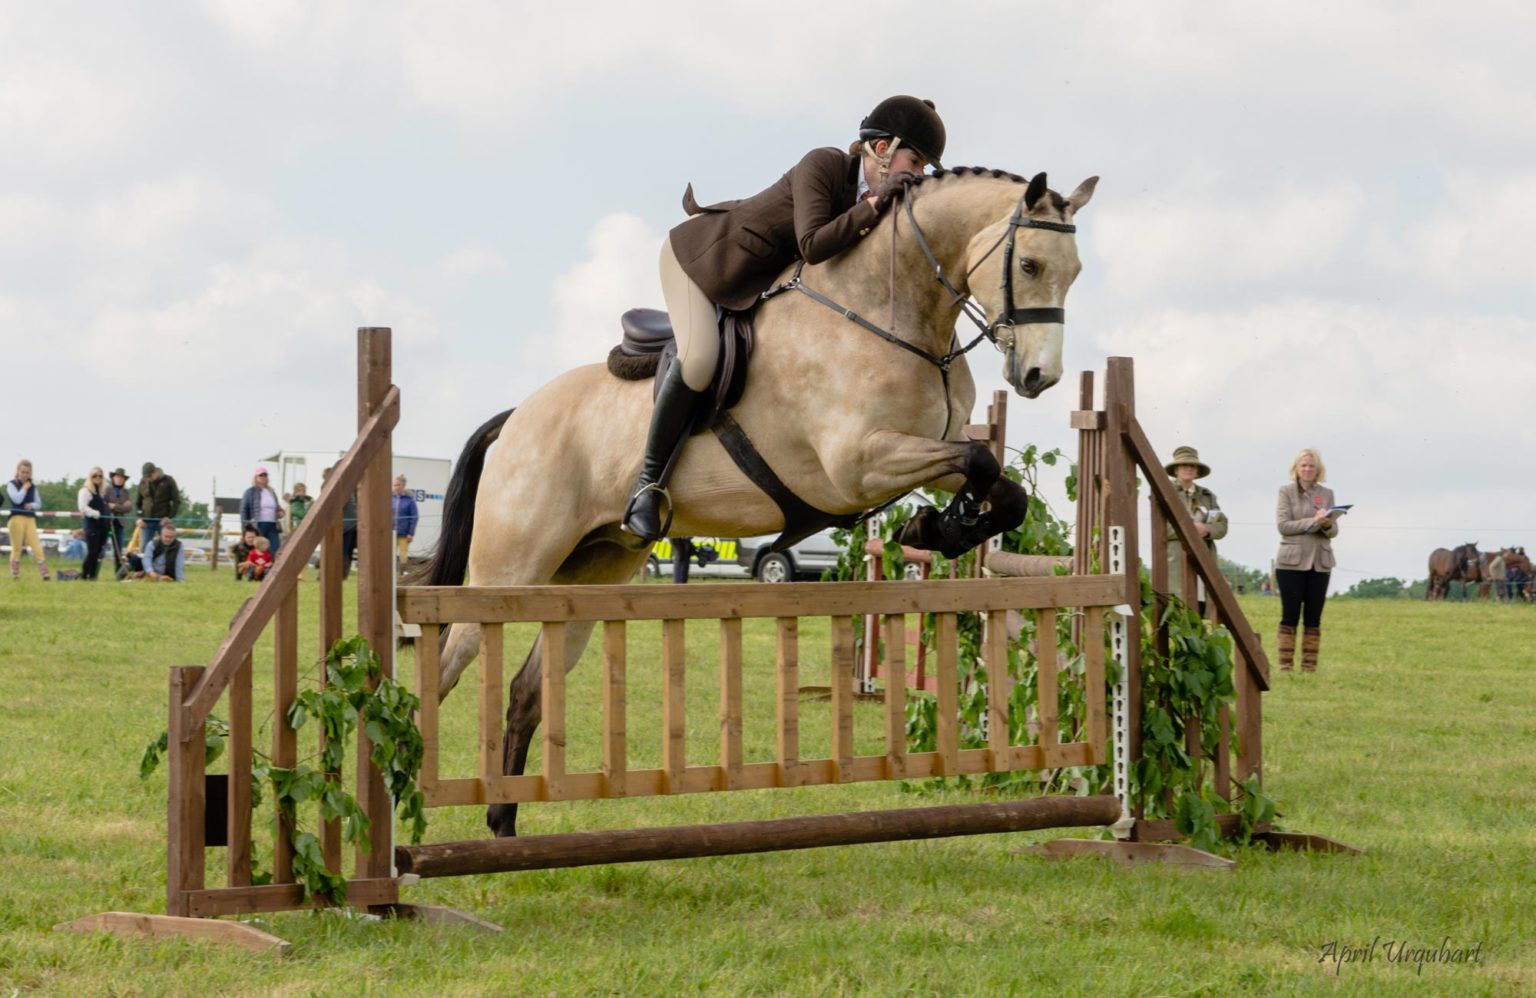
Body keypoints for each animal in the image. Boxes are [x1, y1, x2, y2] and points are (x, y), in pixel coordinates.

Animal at [421, 168, 1098, 837]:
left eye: (1076, 272)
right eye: (1031, 263)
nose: (1039, 377)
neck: (886, 315)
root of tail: (516, 418)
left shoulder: (926, 446)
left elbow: (998, 484)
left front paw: (940, 528)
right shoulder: (856, 464)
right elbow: (978, 461)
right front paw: (937, 526)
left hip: (590, 574)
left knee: (527, 690)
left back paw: (503, 825)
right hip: (509, 570)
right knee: (450, 662)